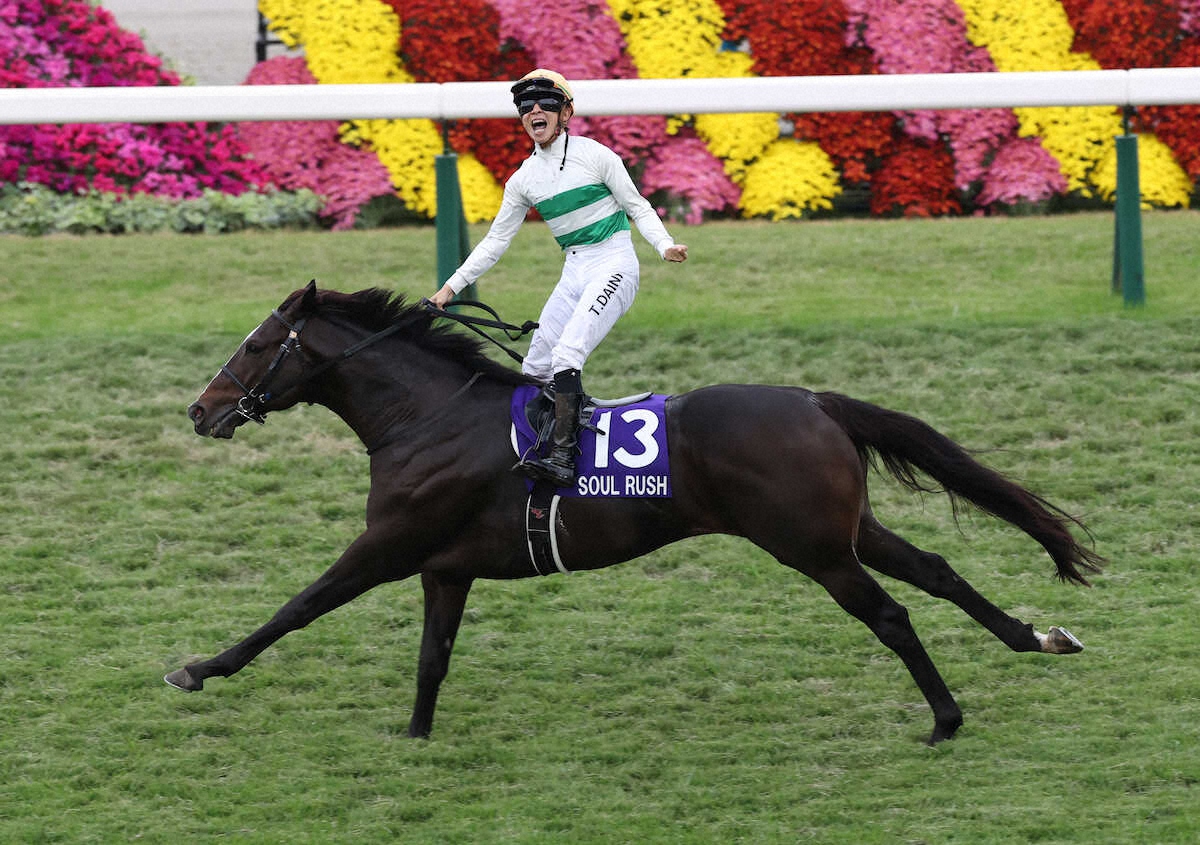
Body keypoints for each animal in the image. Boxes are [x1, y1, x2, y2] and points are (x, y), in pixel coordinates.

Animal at [166, 281, 1103, 746]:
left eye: (256, 344)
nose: (200, 410)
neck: (425, 416)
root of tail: (816, 400)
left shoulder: (390, 544)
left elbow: (296, 607)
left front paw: (199, 668)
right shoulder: (444, 565)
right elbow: (432, 656)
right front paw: (417, 733)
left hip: (811, 546)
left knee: (892, 612)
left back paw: (945, 720)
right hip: (847, 528)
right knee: (937, 573)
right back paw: (1037, 638)